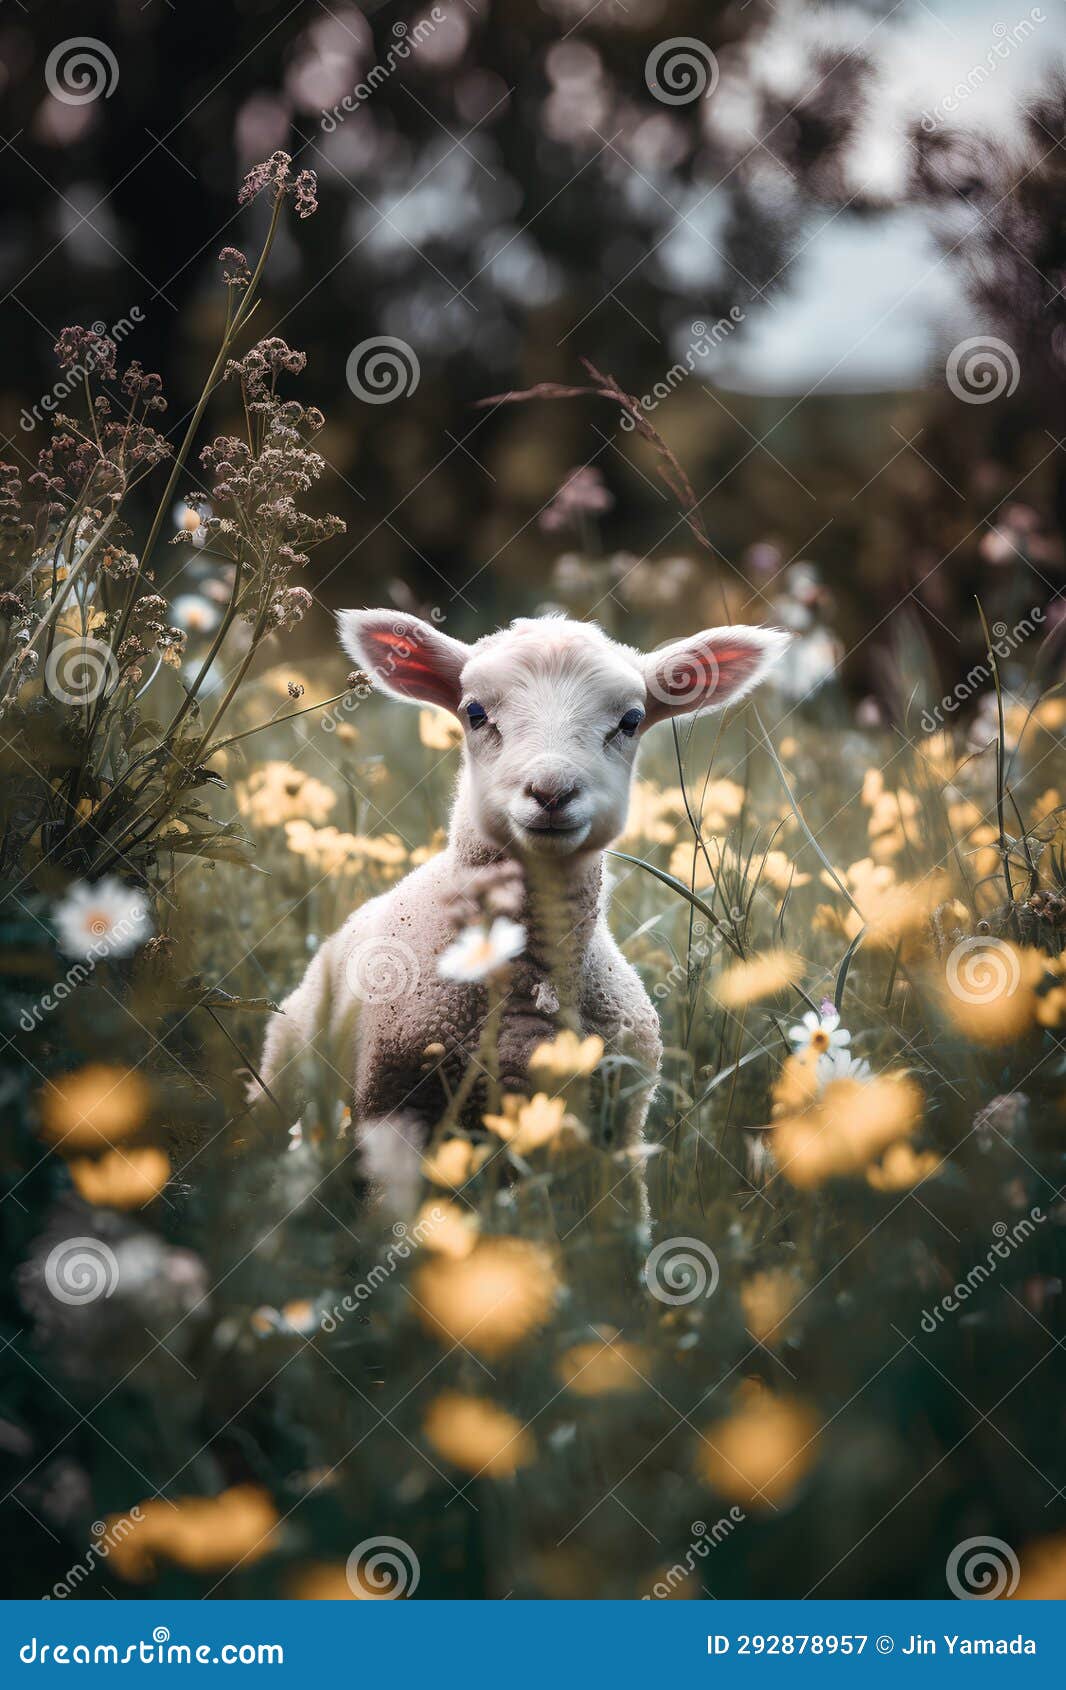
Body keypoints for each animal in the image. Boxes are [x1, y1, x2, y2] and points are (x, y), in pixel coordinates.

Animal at [258, 610, 788, 1209]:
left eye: (630, 721)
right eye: (474, 712)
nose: (552, 792)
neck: (524, 984)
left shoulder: (618, 1130)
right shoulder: (390, 1110)